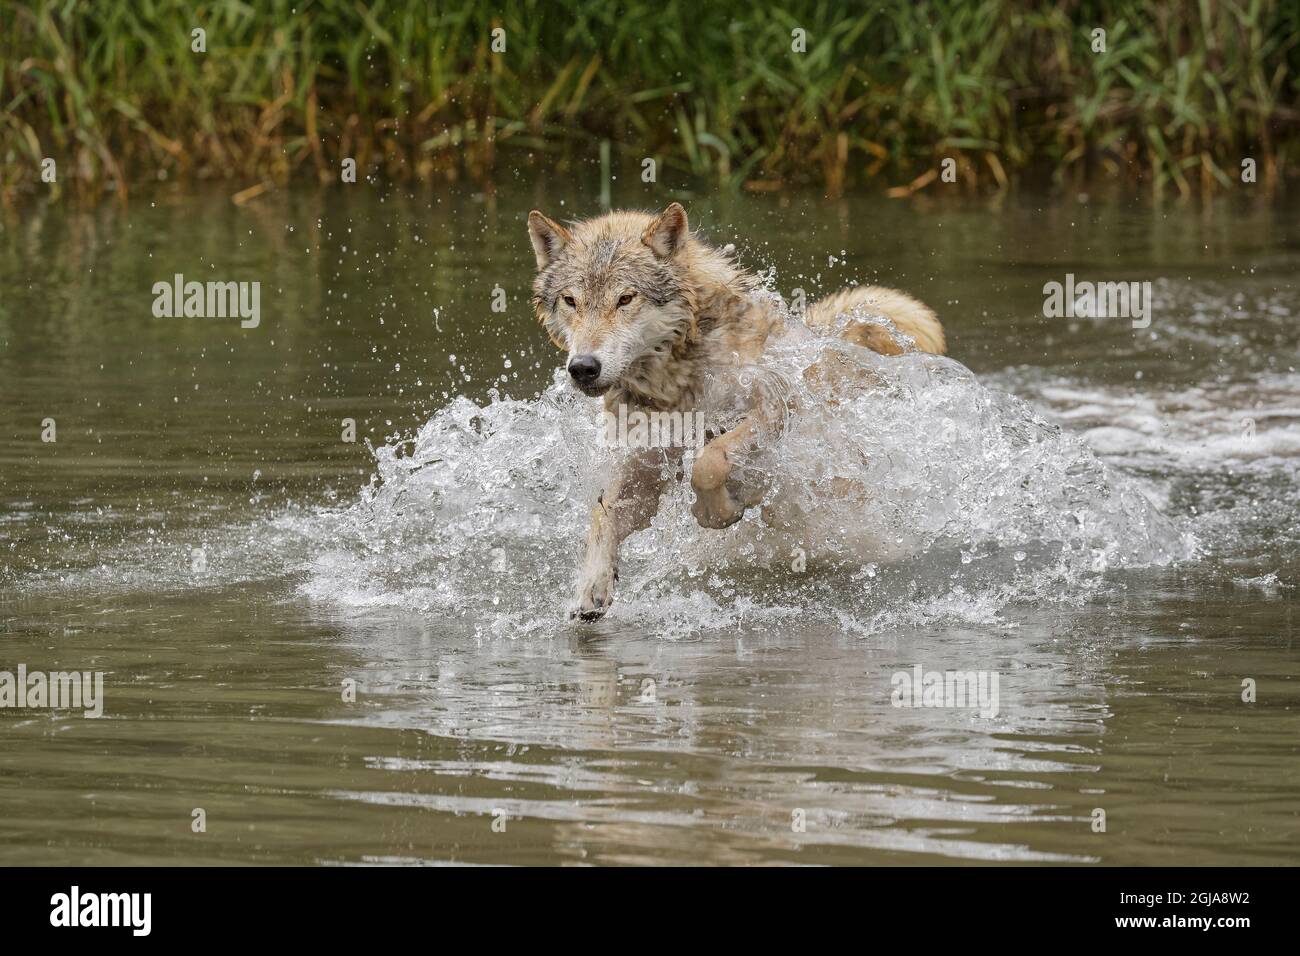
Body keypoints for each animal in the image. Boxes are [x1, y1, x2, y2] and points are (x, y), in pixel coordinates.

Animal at [528, 202, 946, 620]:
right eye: (570, 301)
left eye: (626, 298)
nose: (583, 367)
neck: (678, 379)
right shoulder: (645, 469)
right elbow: (602, 513)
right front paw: (592, 587)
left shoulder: (773, 408)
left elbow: (710, 462)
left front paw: (717, 512)